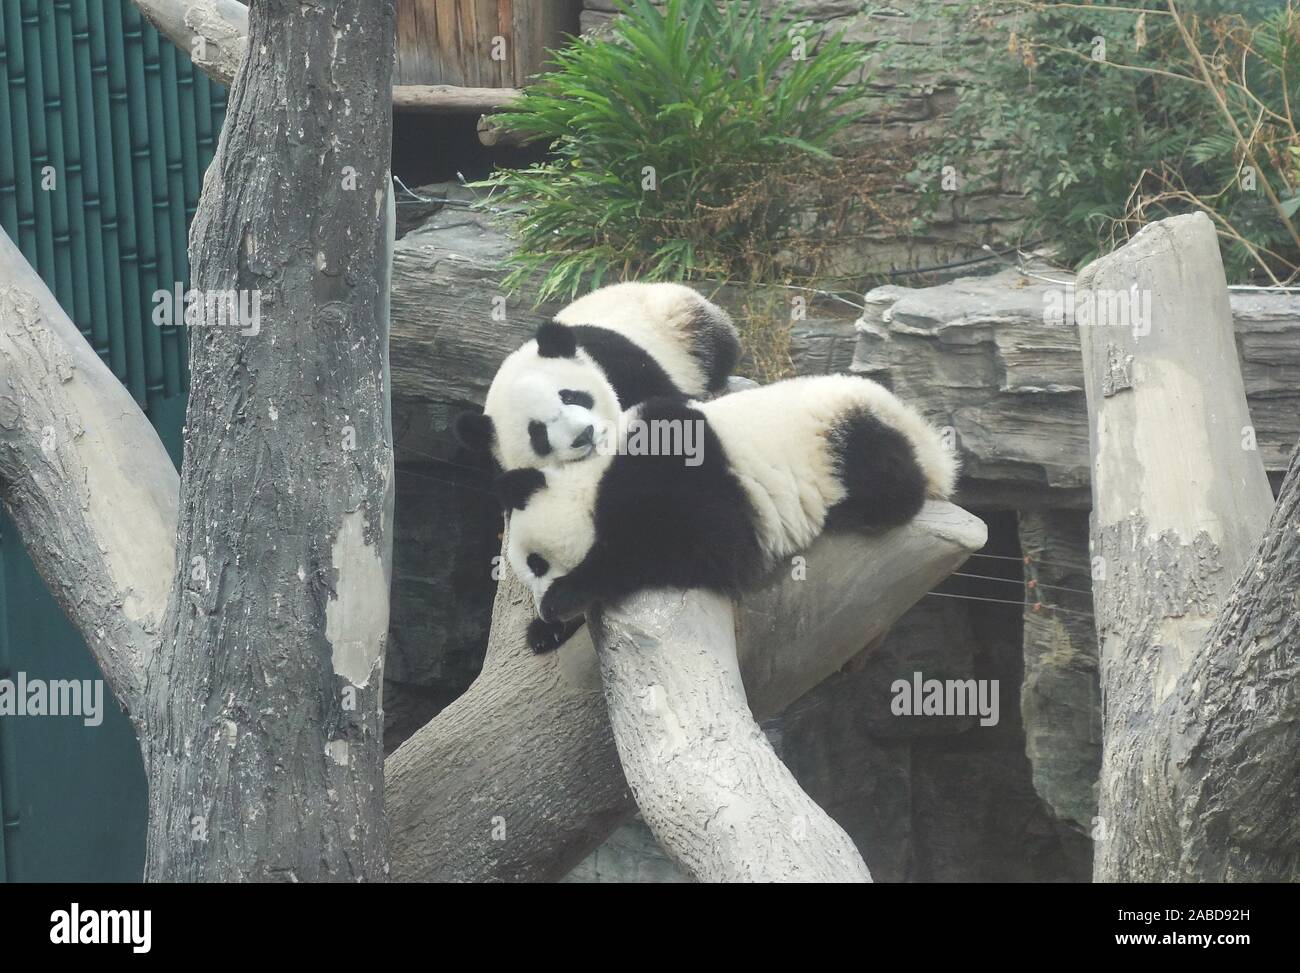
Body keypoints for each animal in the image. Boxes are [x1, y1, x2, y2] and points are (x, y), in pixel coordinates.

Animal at [493, 374, 959, 652]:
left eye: (537, 563)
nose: (545, 611)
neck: (592, 477)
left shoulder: (679, 477)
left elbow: (702, 549)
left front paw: (568, 593)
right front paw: (544, 633)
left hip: (843, 430)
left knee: (881, 468)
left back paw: (855, 511)